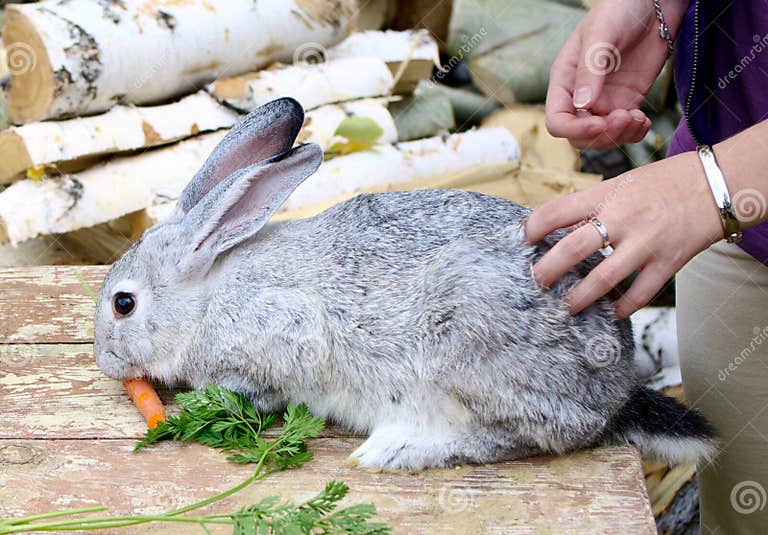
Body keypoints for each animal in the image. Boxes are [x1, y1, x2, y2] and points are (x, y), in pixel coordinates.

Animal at [94, 97, 717, 472]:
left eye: (124, 304)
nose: (104, 361)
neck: (208, 293)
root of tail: (615, 390)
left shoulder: (284, 333)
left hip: (470, 348)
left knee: (527, 435)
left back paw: (396, 449)